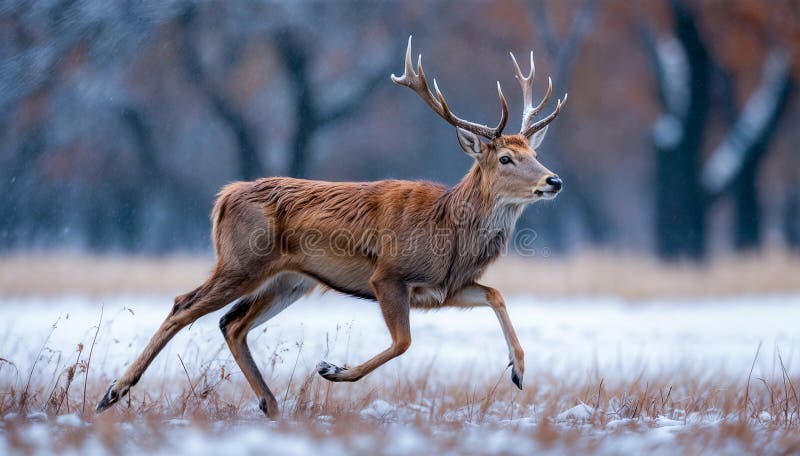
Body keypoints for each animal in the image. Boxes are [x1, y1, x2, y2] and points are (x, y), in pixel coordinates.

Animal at [96, 37, 566, 419]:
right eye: (505, 158)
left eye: (532, 153)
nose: (553, 180)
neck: (449, 230)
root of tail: (224, 197)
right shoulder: (389, 275)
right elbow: (403, 343)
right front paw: (331, 368)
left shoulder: (445, 288)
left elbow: (495, 293)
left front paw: (519, 371)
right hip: (241, 260)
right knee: (183, 305)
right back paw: (114, 392)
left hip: (289, 280)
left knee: (232, 323)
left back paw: (270, 404)